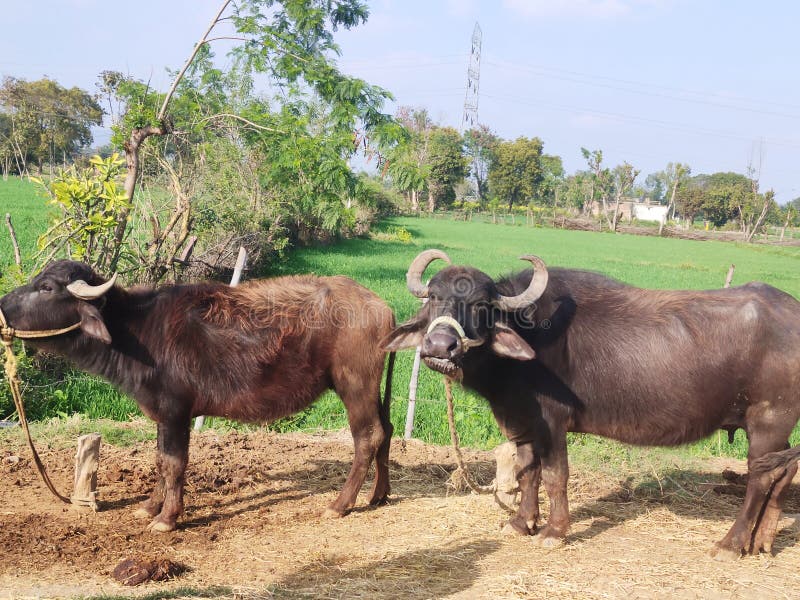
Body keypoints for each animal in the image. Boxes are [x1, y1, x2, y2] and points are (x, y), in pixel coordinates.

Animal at [0, 260, 396, 532]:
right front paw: (149, 506)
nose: (2, 305)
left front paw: (166, 519)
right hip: (370, 389)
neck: (140, 333)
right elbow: (160, 460)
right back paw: (379, 494)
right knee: (387, 431)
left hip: (354, 385)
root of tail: (382, 308)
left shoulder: (176, 412)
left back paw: (340, 504)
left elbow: (175, 464)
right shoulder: (164, 415)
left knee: (368, 437)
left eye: (47, 287)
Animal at [383, 249, 800, 559]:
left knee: (761, 478)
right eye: (435, 297)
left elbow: (555, 475)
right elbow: (527, 472)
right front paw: (521, 522)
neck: (529, 336)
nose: (440, 346)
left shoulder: (552, 422)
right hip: (779, 429)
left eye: (481, 304)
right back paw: (762, 542)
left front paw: (554, 531)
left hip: (768, 422)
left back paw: (730, 544)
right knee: (784, 472)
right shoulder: (523, 422)